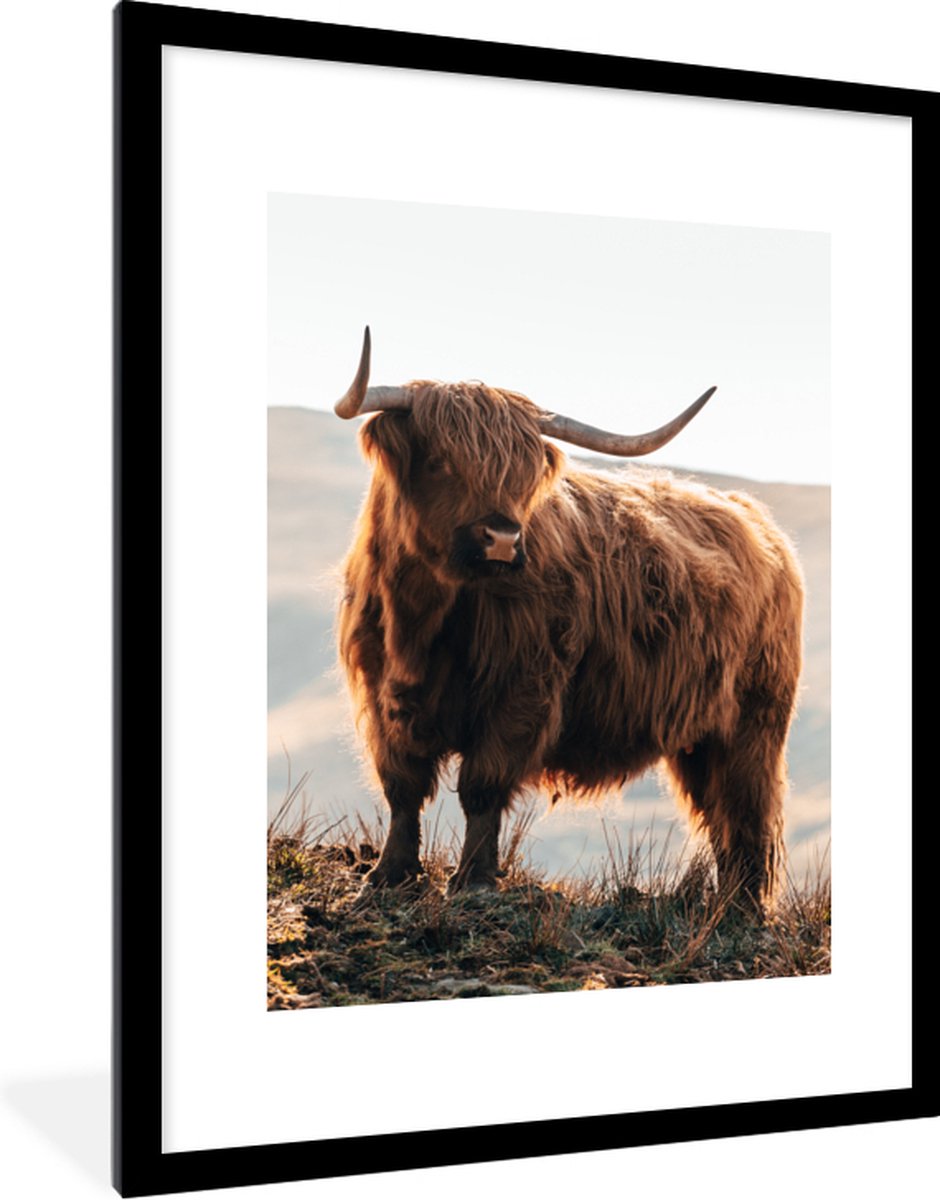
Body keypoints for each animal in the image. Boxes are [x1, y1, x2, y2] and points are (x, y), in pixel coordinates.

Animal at [334, 328, 803, 915]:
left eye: (521, 475)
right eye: (441, 461)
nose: (503, 538)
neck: (422, 619)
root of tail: (757, 521)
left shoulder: (521, 691)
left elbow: (482, 786)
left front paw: (474, 880)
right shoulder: (383, 696)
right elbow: (402, 786)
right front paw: (386, 876)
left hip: (753, 722)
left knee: (745, 811)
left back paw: (740, 911)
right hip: (700, 737)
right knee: (719, 813)